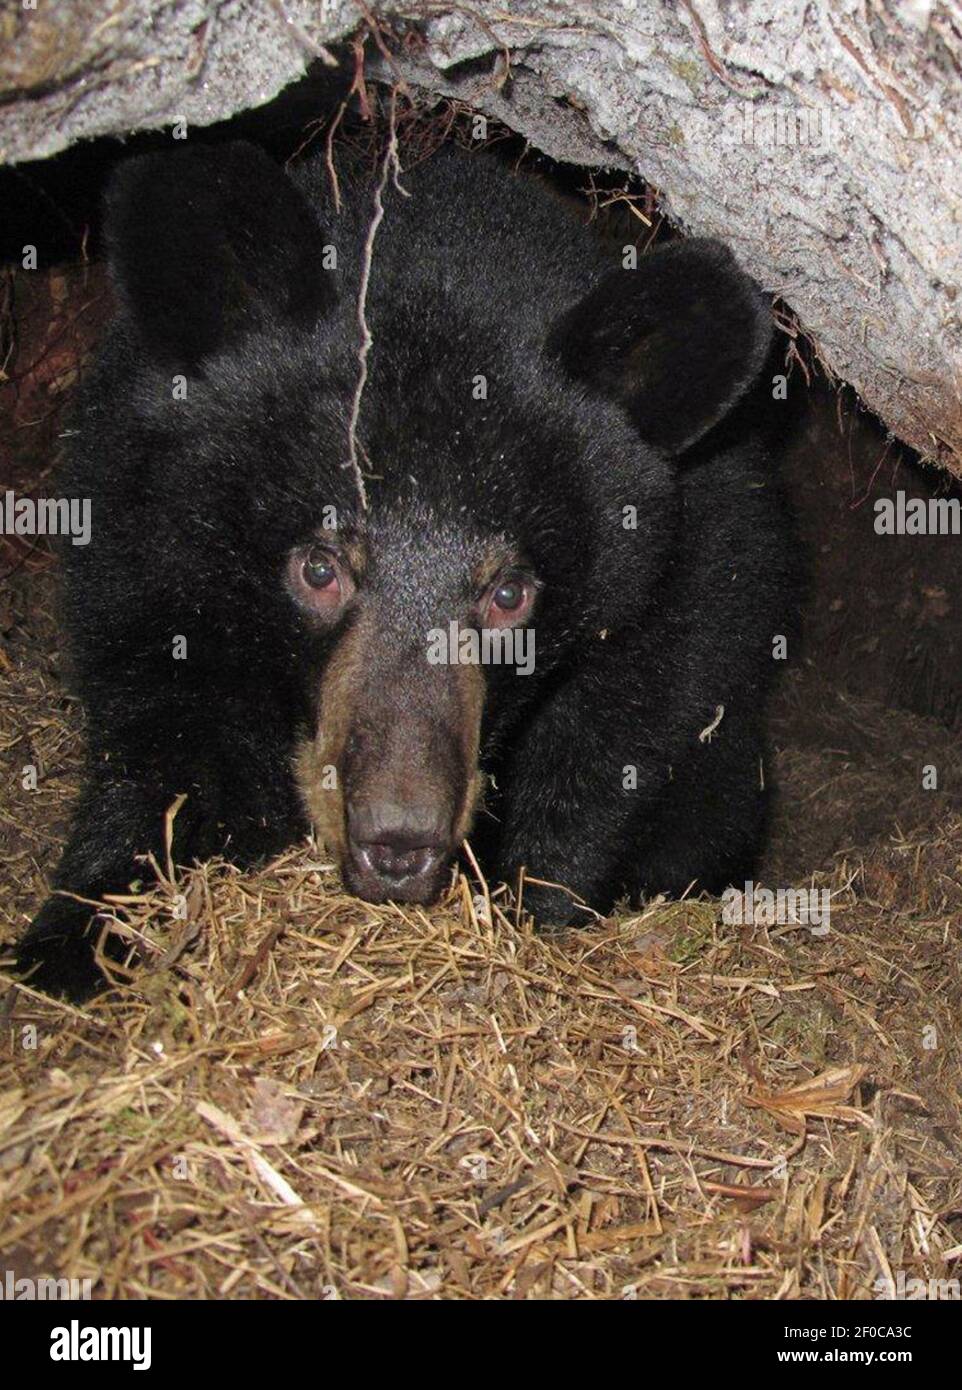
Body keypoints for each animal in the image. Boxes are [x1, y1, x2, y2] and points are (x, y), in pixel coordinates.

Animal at [14, 138, 798, 1002]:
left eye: (509, 593)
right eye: (319, 568)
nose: (397, 843)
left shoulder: (686, 588)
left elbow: (616, 749)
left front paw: (533, 911)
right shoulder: (140, 539)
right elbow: (163, 735)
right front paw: (78, 937)